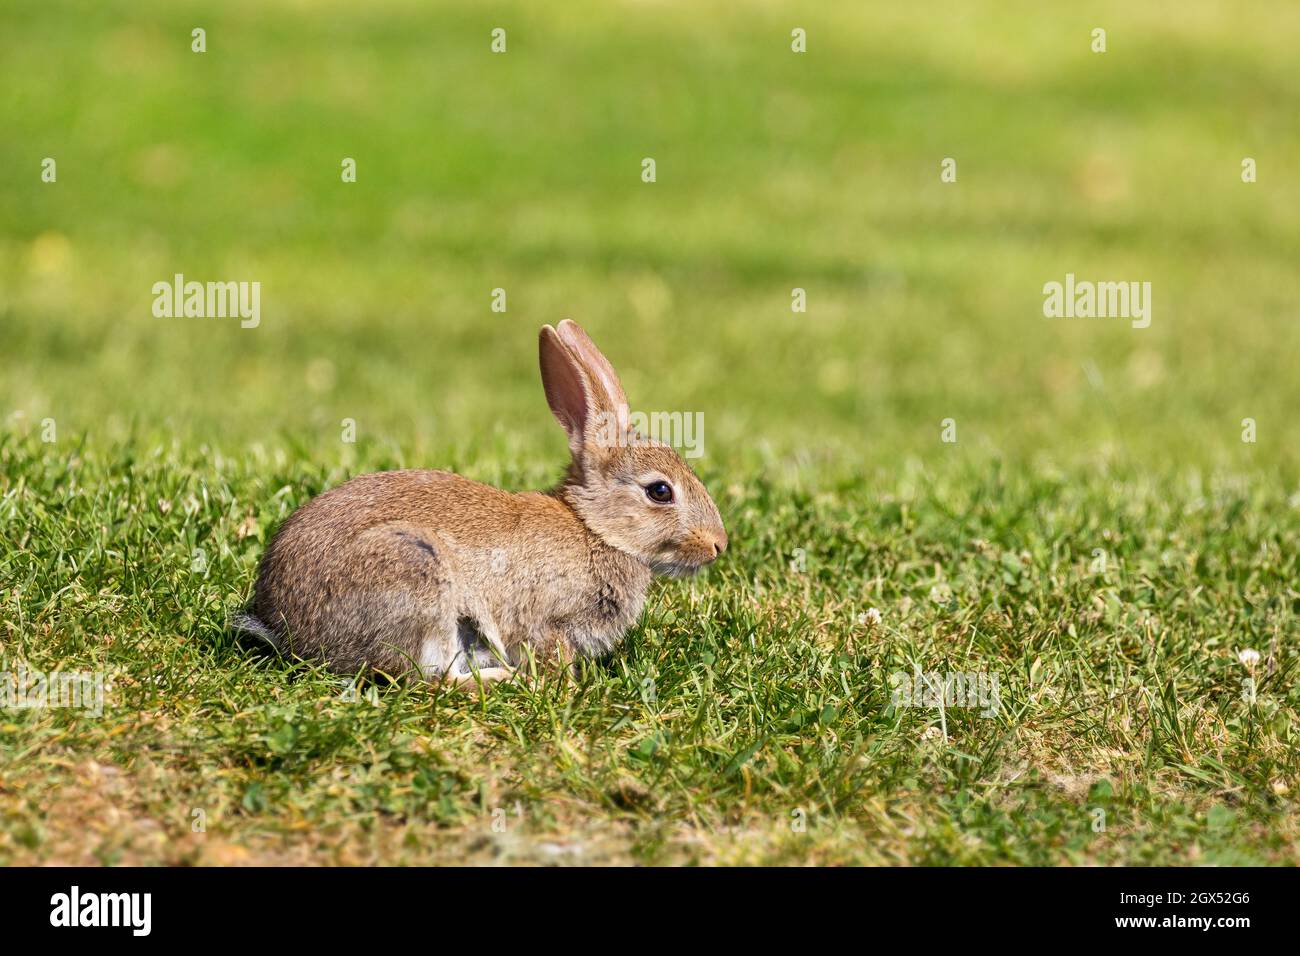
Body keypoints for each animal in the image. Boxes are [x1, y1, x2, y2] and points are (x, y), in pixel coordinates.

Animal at [235, 319, 727, 685]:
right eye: (660, 491)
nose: (718, 544)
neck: (593, 528)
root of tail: (290, 630)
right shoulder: (546, 622)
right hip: (414, 573)